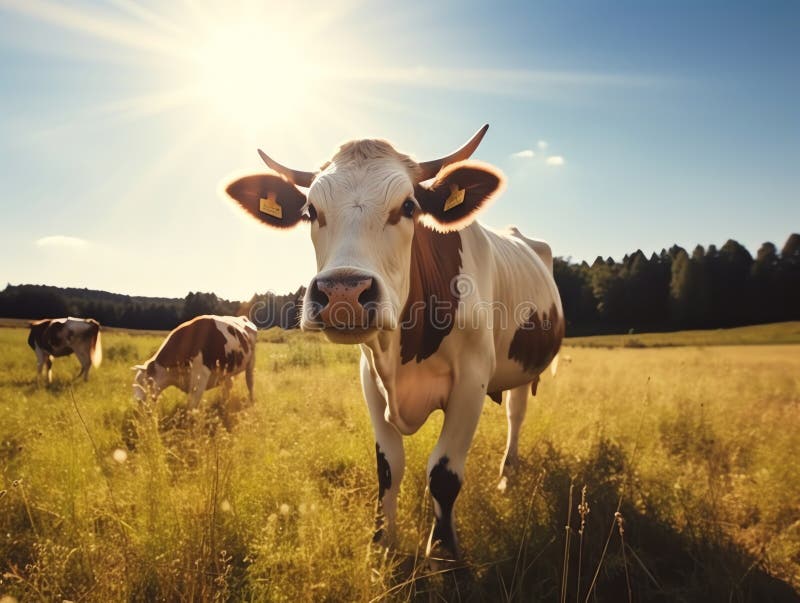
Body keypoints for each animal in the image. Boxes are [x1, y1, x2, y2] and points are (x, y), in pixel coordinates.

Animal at [224, 125, 564, 559]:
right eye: (311, 212)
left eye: (408, 207)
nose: (344, 292)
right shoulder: (371, 379)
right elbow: (388, 467)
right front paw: (382, 543)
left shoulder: (471, 382)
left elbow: (443, 474)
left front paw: (445, 553)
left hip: (522, 365)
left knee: (515, 415)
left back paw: (507, 477)